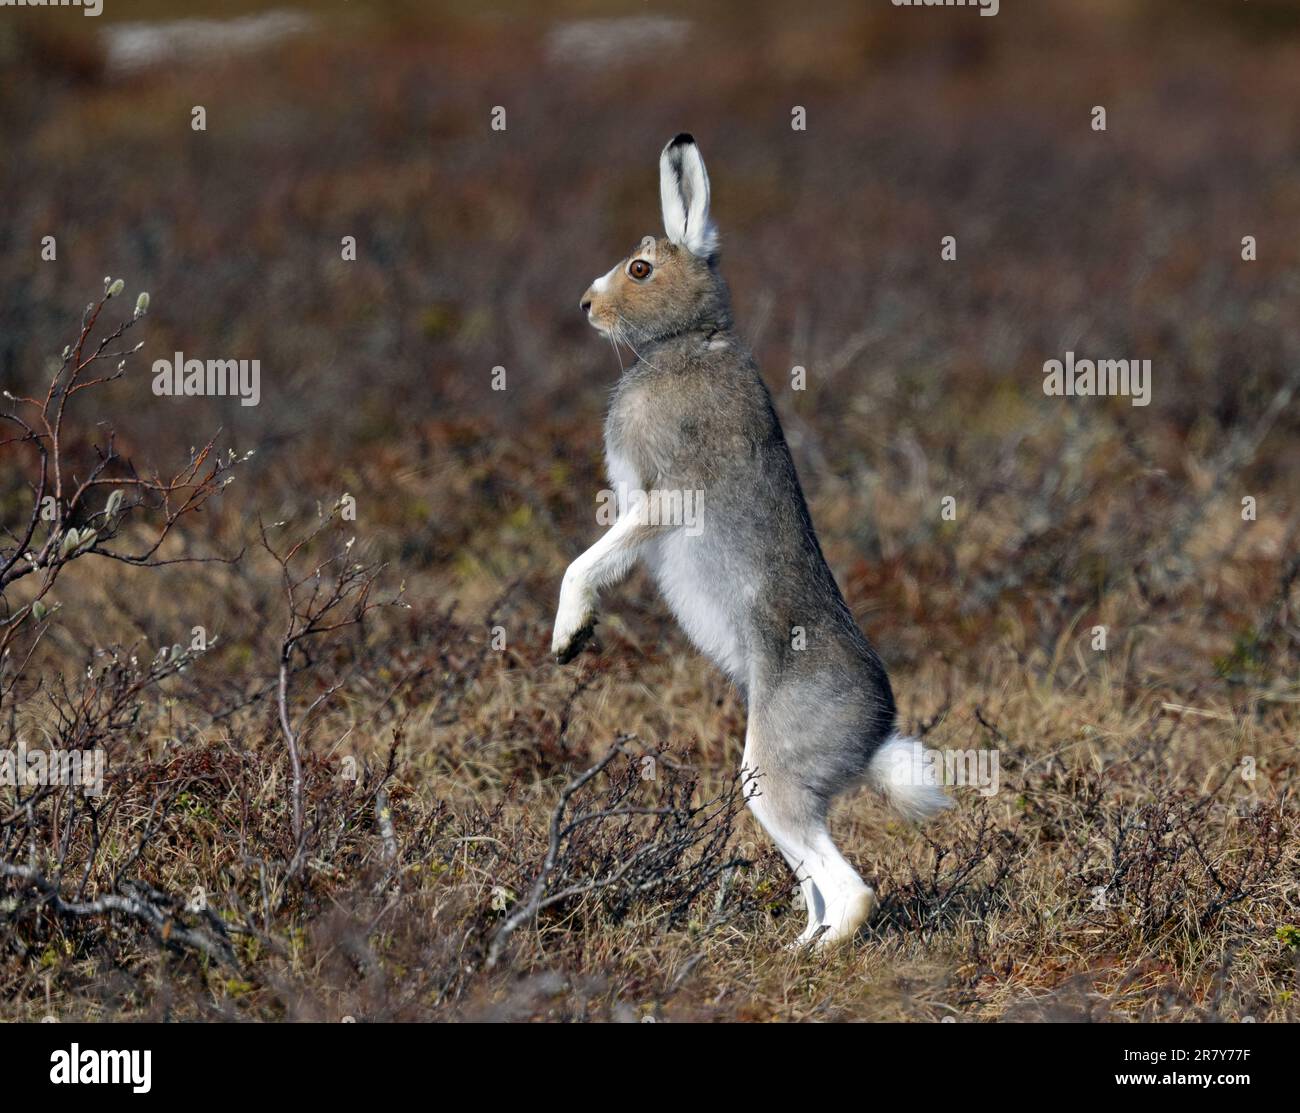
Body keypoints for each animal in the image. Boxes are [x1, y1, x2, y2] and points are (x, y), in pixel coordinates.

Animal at [552, 134, 951, 947]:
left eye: (640, 269)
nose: (585, 306)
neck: (689, 341)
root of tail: (876, 734)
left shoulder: (662, 494)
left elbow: (589, 559)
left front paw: (568, 636)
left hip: (771, 774)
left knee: (850, 891)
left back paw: (816, 955)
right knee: (816, 883)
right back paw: (798, 943)